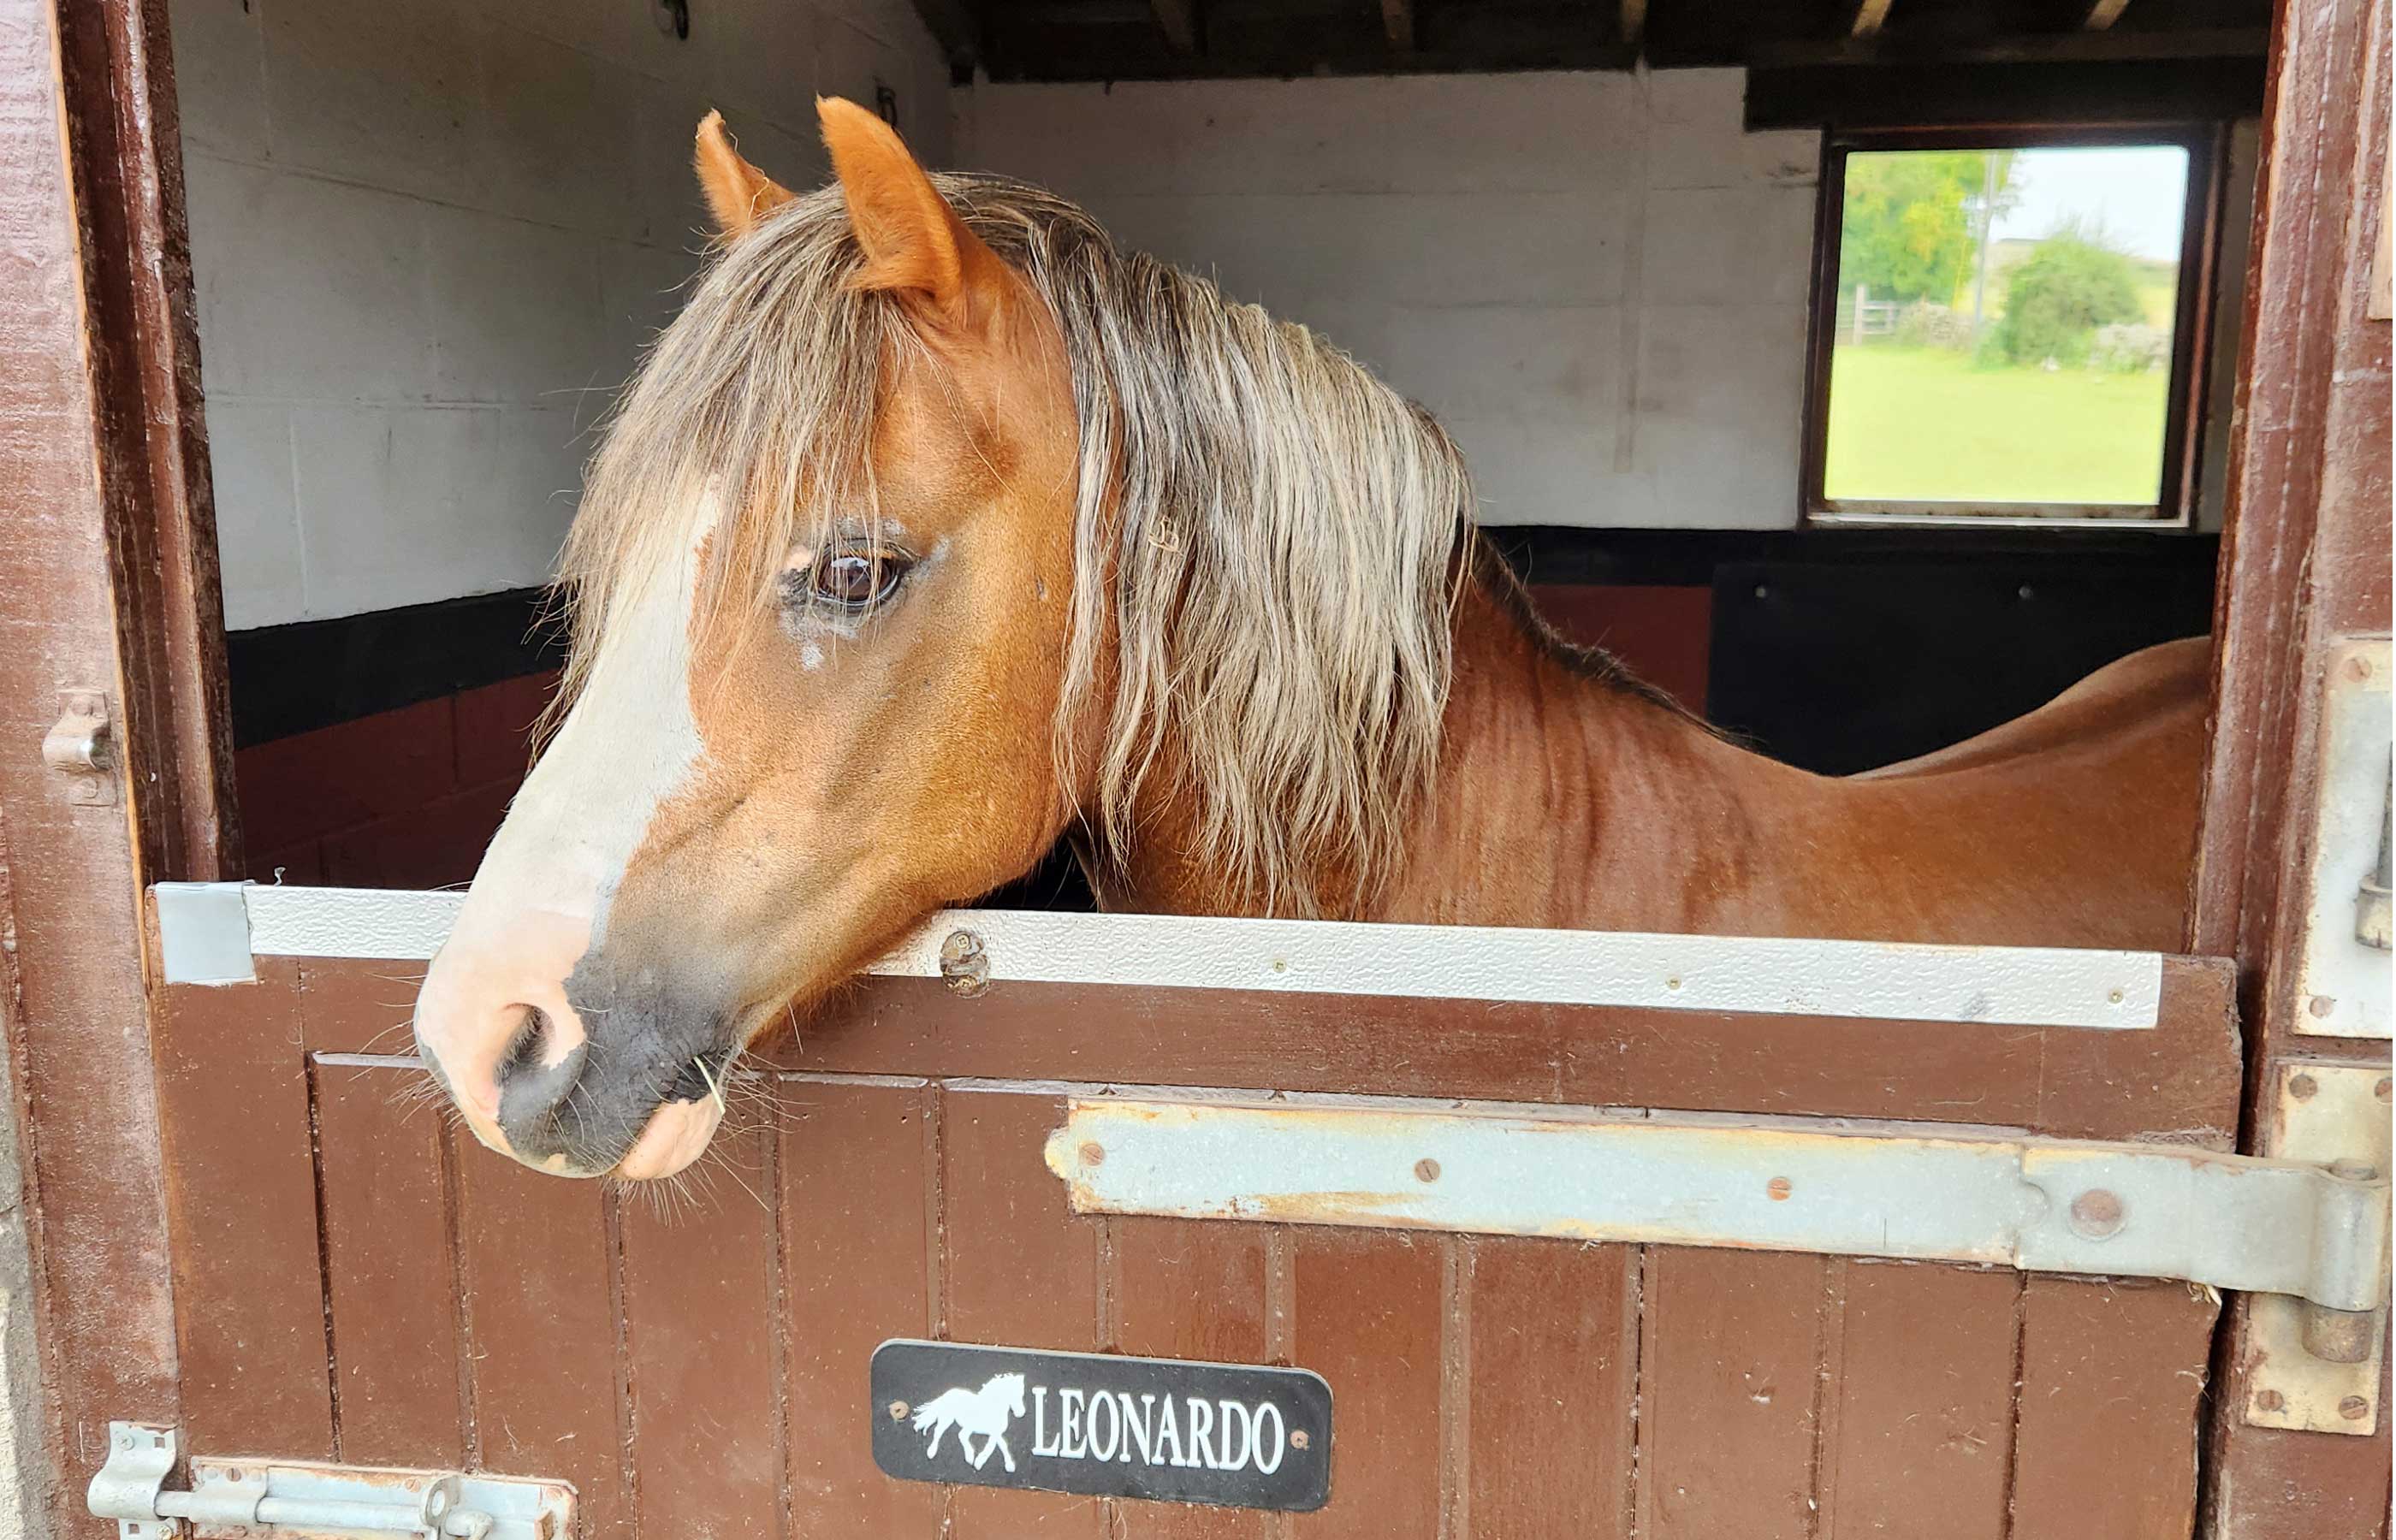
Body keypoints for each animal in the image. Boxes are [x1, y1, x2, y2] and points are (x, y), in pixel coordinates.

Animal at [911, 1373, 1028, 1471]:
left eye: (1022, 1394)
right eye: (1013, 1394)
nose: (1021, 1413)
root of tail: (948, 1393)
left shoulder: (996, 1433)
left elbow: (1001, 1445)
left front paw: (1009, 1466)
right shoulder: (993, 1432)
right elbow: (992, 1446)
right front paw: (978, 1463)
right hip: (949, 1419)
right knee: (941, 1432)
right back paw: (933, 1452)